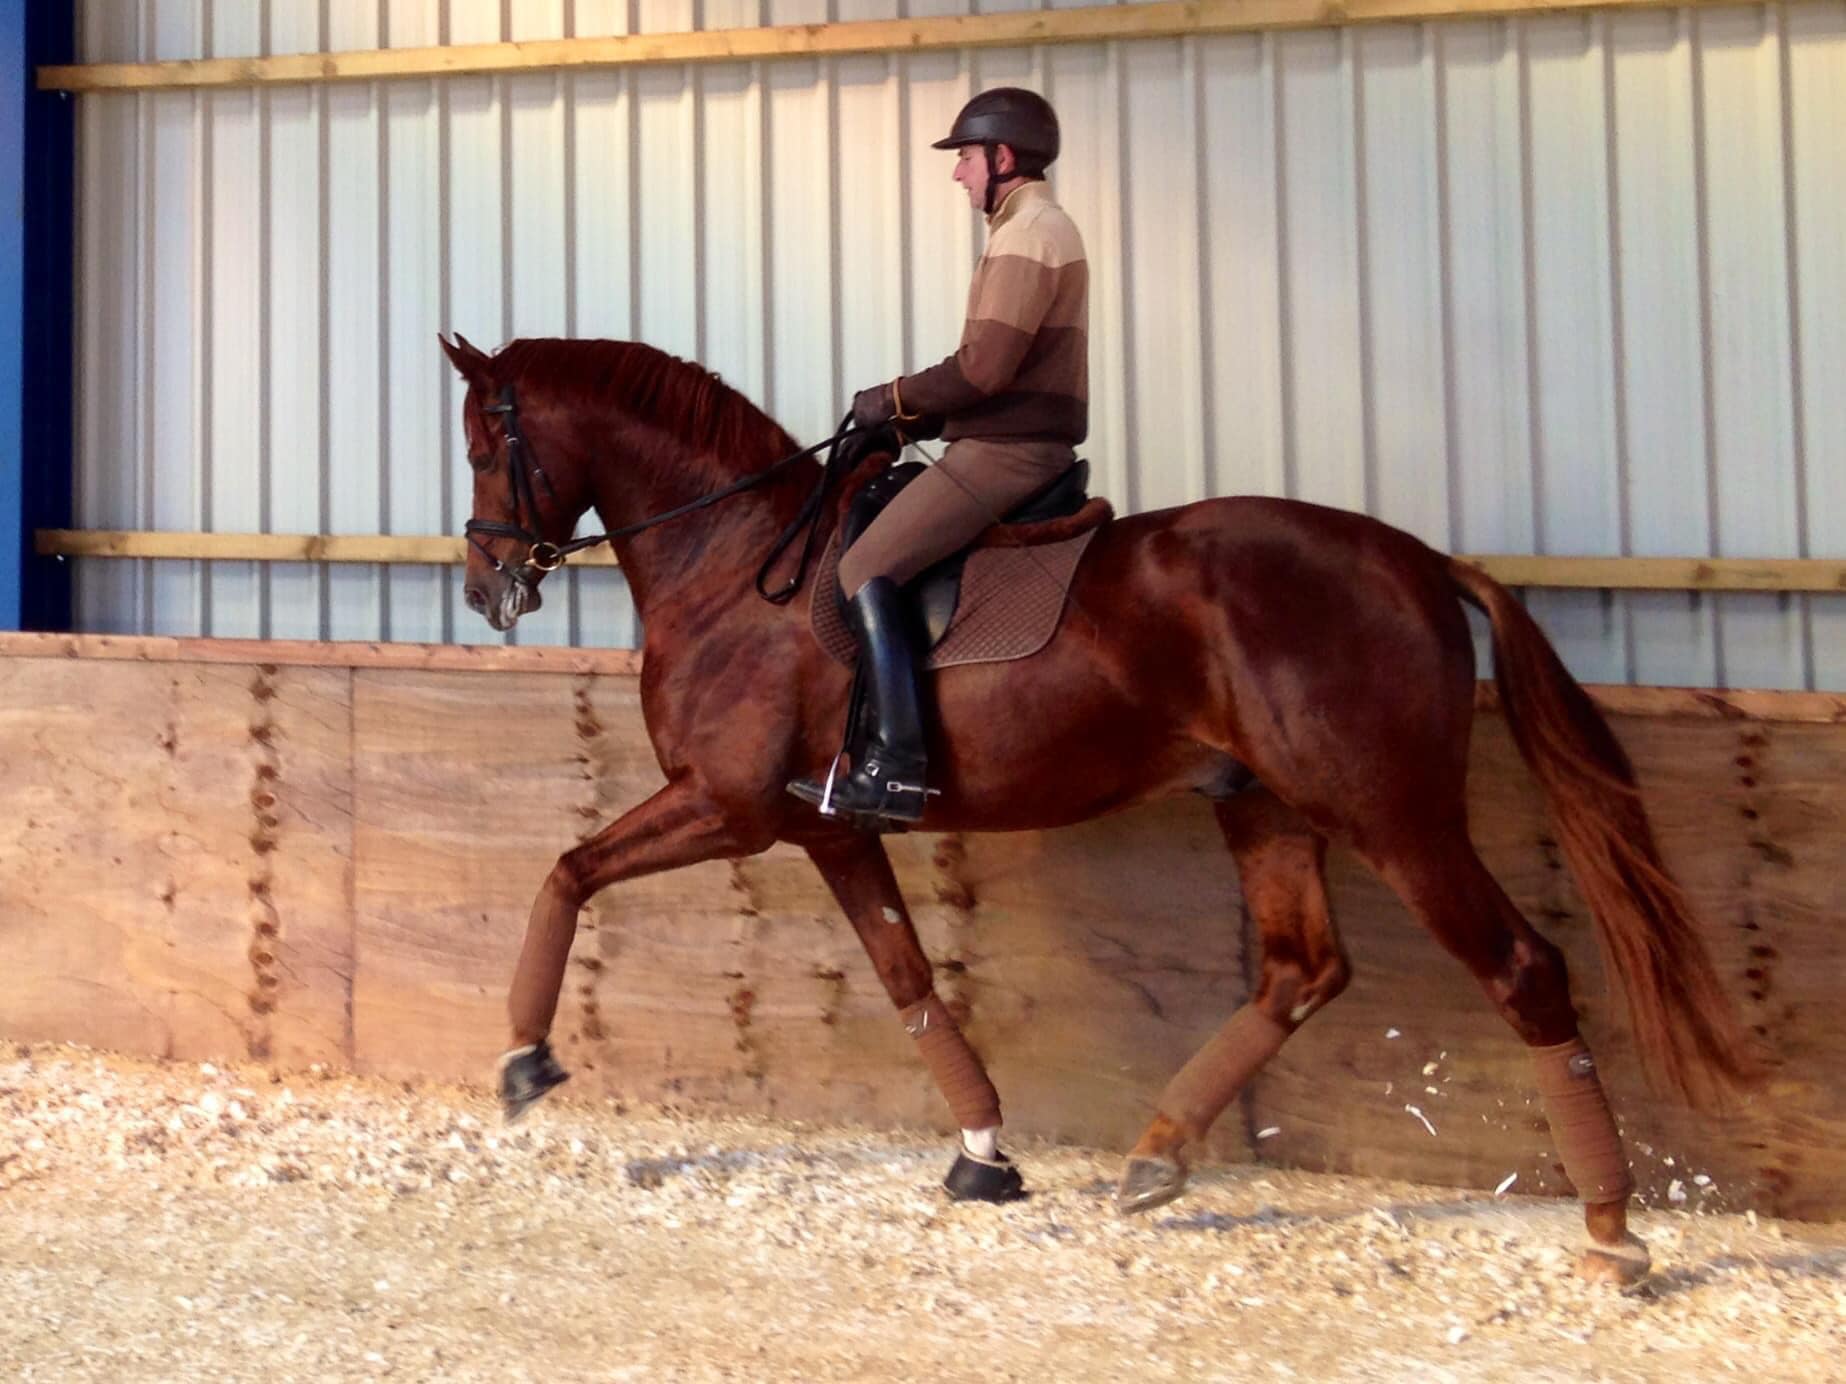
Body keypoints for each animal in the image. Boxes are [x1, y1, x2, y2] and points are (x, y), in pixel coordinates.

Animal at [440, 332, 1762, 1284]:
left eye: (484, 448)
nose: (485, 584)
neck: (736, 561)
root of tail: (1419, 561)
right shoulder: (830, 825)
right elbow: (909, 978)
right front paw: (983, 1154)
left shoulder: (727, 804)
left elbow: (566, 867)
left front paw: (522, 1059)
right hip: (1264, 805)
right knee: (1302, 969)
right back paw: (1153, 1158)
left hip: (1395, 818)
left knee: (1523, 970)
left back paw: (1611, 1230)